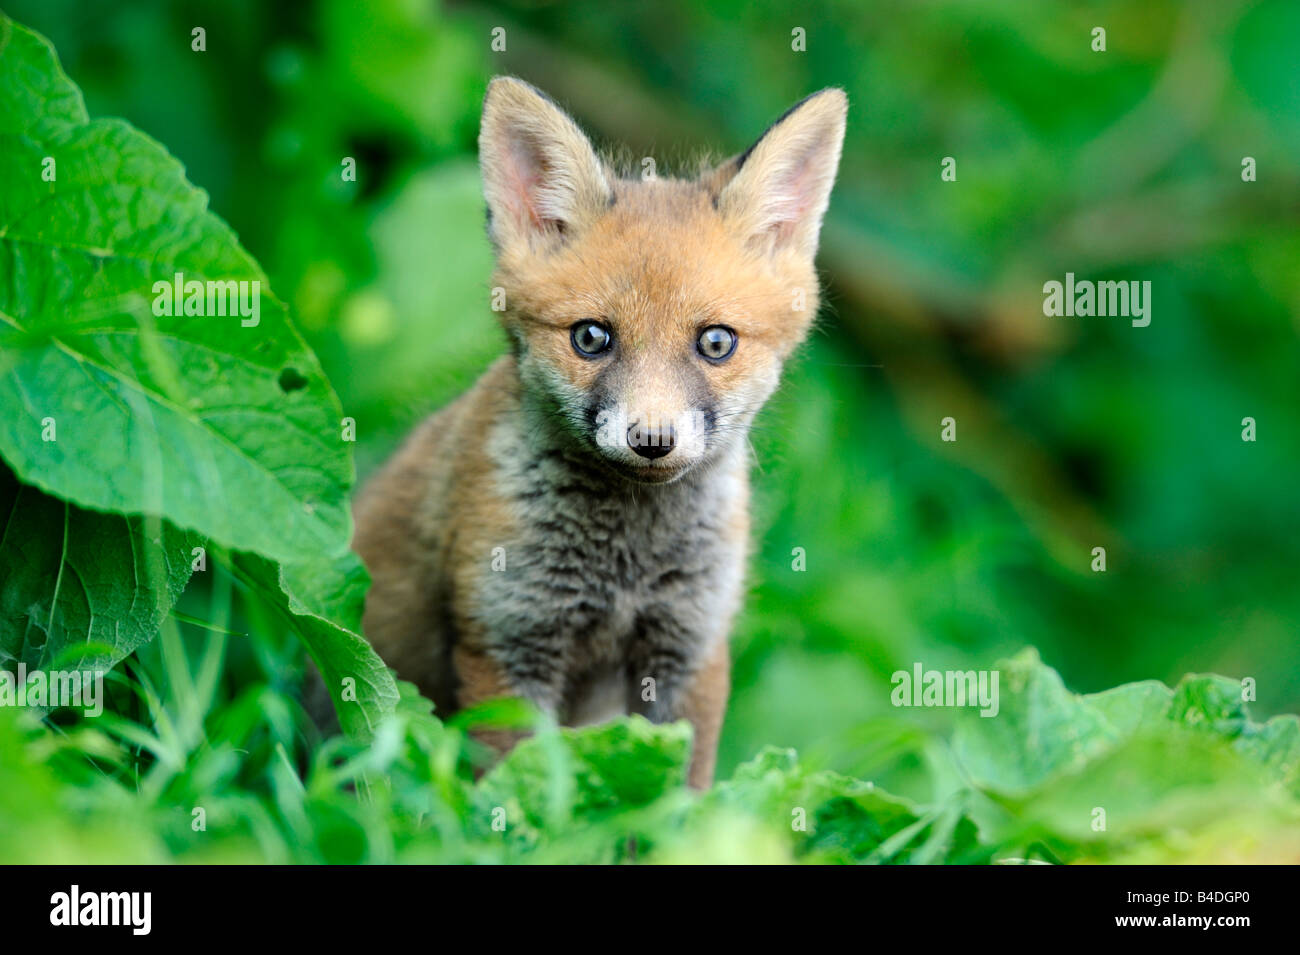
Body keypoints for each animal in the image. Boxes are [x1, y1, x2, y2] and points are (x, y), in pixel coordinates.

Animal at [351, 77, 846, 788]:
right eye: (591, 338)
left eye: (715, 343)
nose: (653, 440)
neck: (626, 567)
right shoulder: (506, 643)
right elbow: (518, 783)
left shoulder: (691, 649)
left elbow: (685, 793)